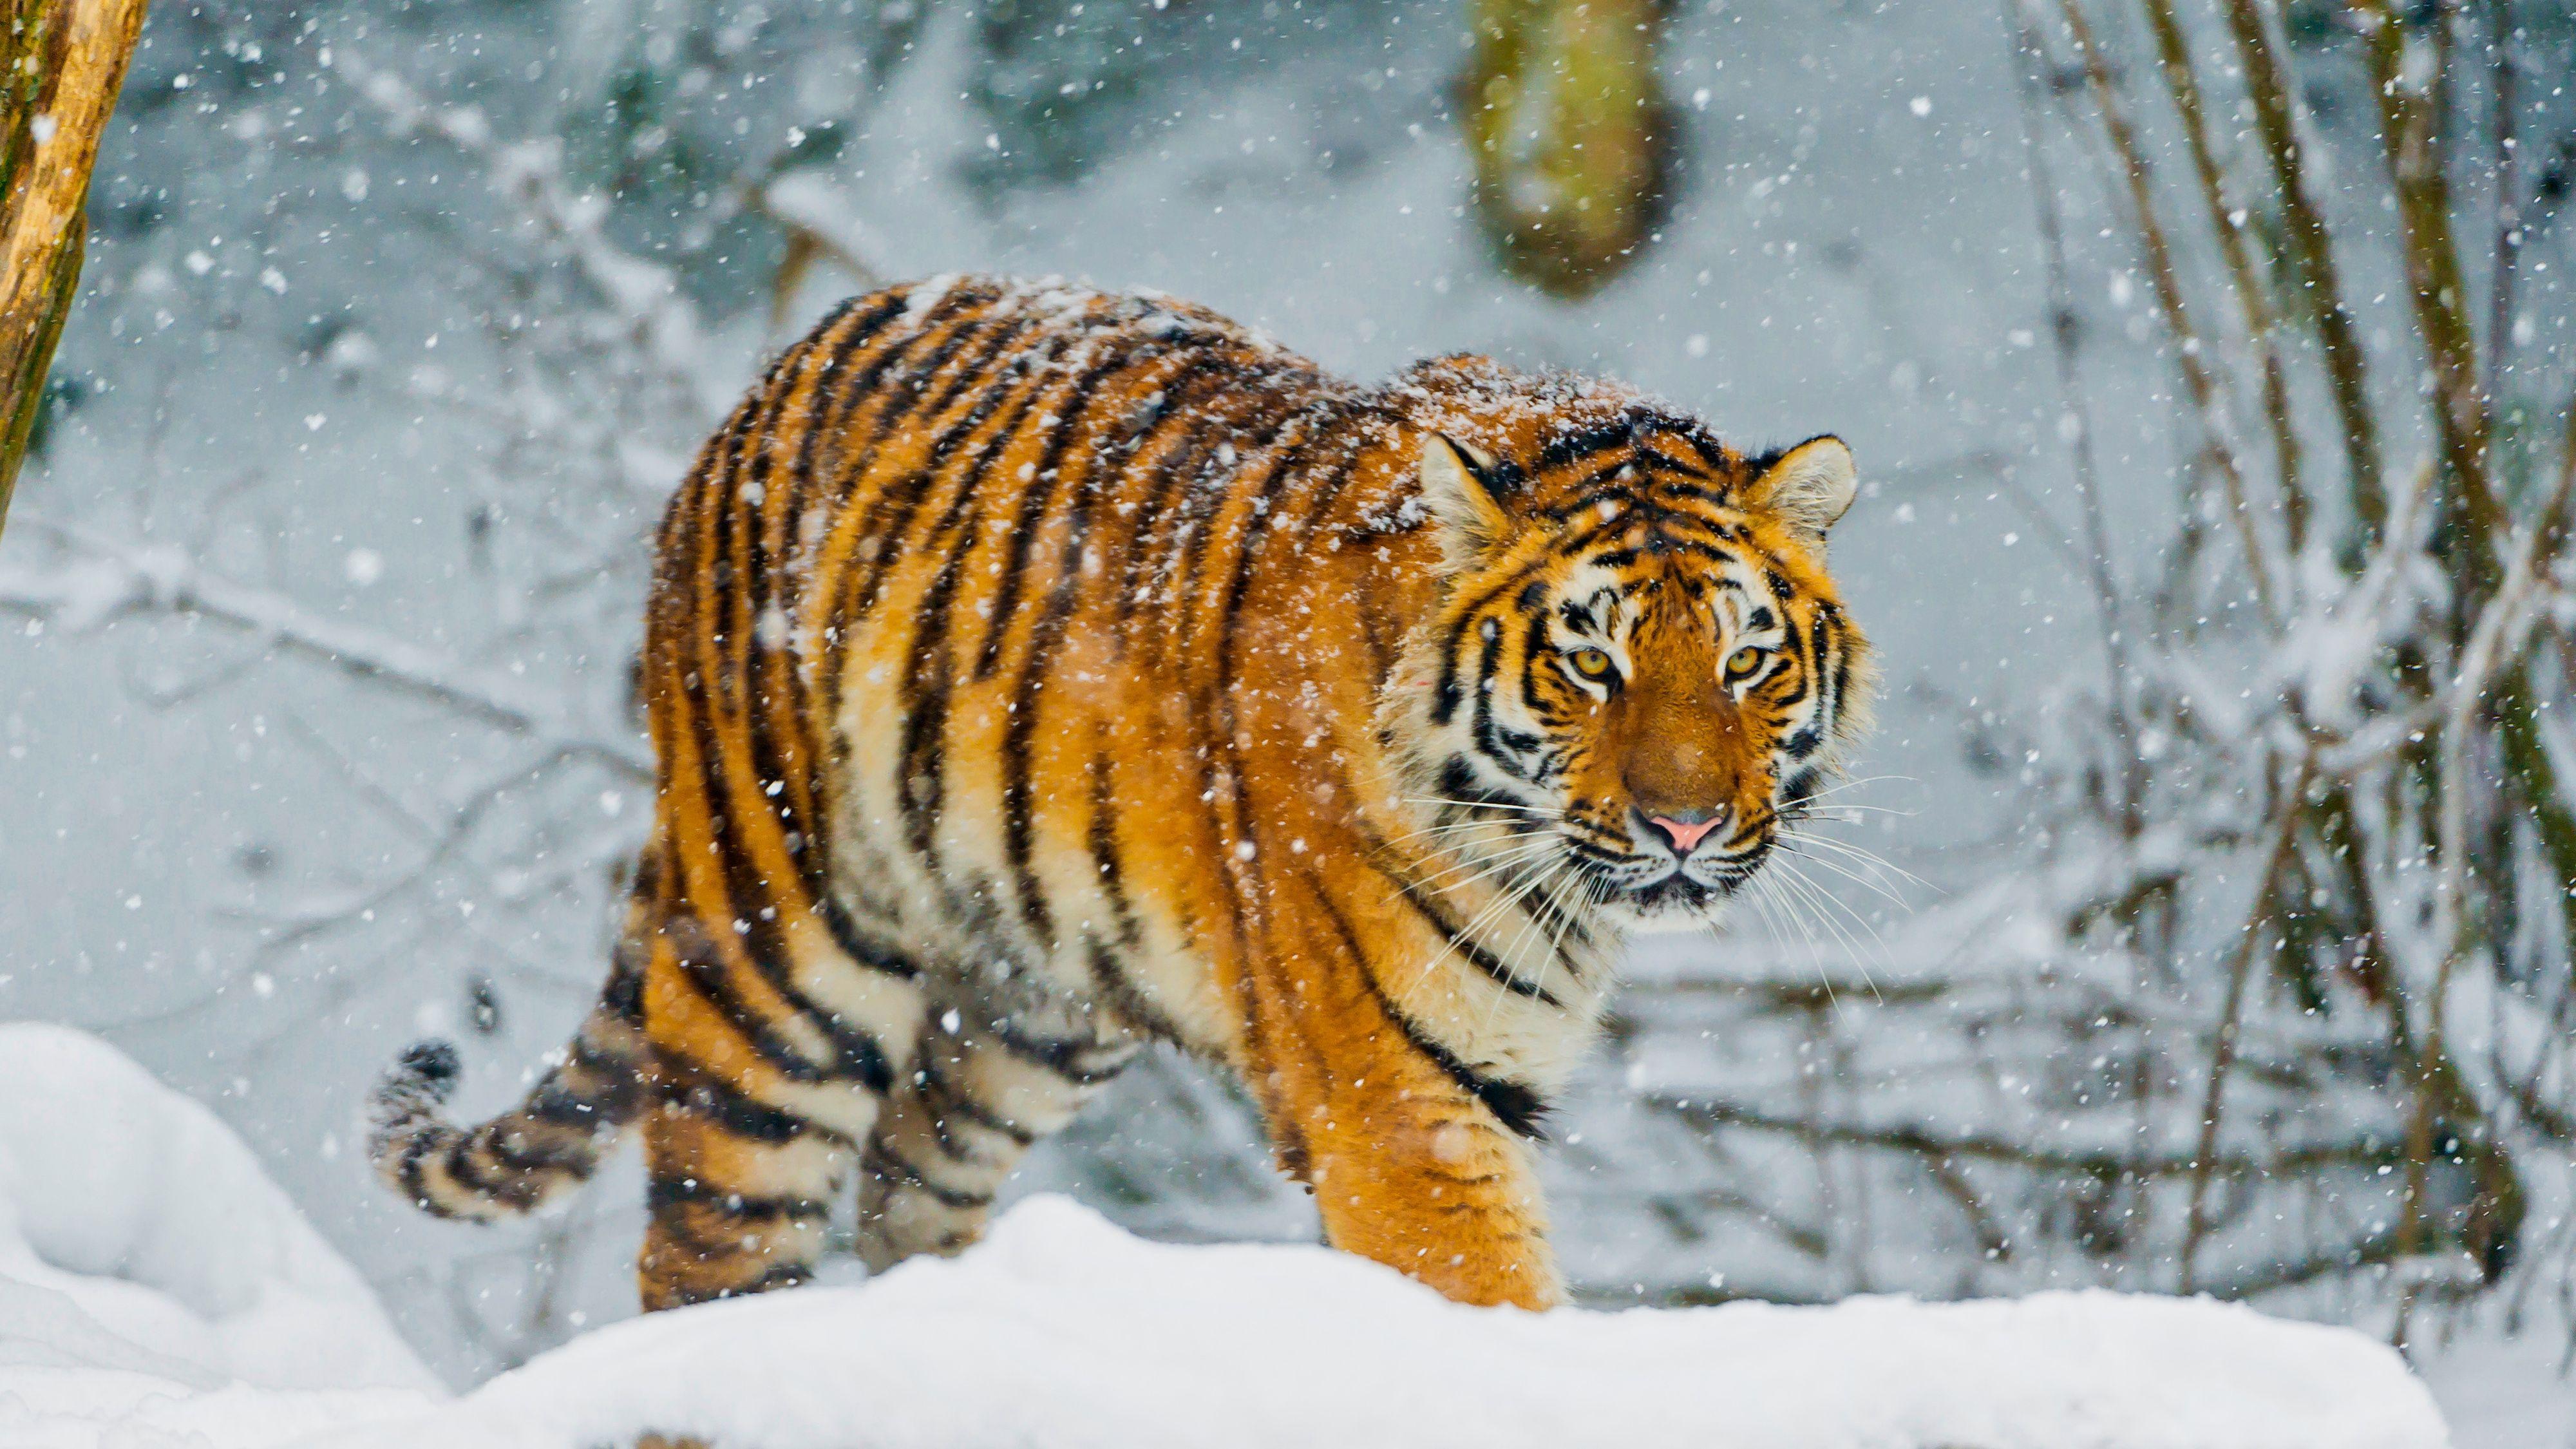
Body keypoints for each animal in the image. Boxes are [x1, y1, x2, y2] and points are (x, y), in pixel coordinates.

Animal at [368, 275, 1872, 1313]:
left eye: (1743, 661)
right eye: (1588, 663)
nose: (1682, 824)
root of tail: (758, 392)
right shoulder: (1402, 1111)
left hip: (1017, 1016)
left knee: (906, 1188)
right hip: (775, 977)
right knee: (705, 1260)